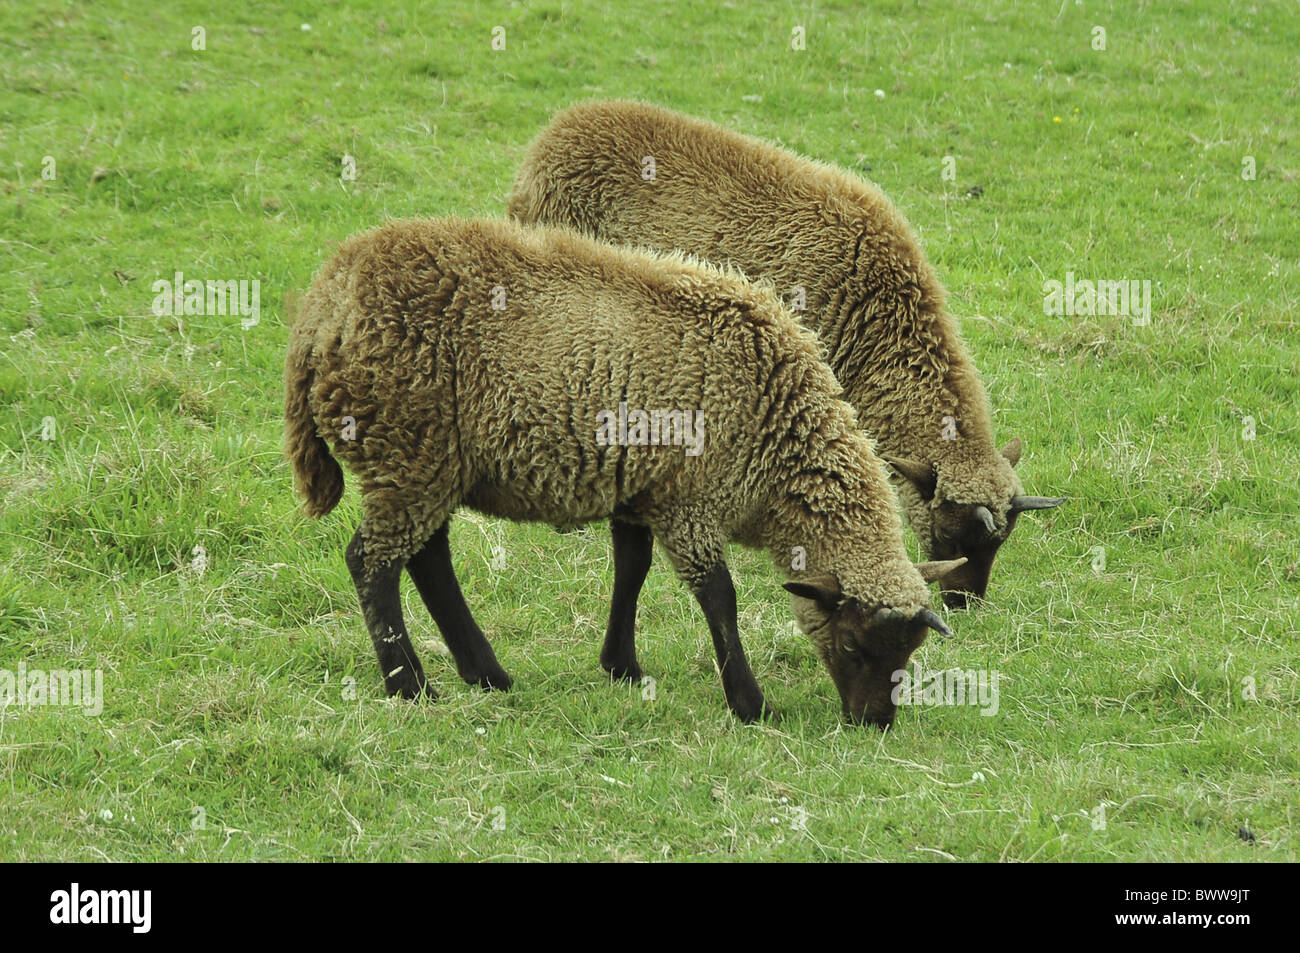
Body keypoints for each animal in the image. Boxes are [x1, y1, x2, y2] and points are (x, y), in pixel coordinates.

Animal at [284, 217, 965, 727]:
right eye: (852, 645)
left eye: (911, 652)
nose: (874, 722)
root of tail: (325, 303)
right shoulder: (689, 500)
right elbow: (718, 594)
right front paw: (749, 703)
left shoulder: (643, 489)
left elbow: (630, 570)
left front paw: (623, 666)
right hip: (406, 453)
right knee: (371, 561)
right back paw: (410, 685)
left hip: (432, 464)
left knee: (426, 559)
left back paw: (486, 674)